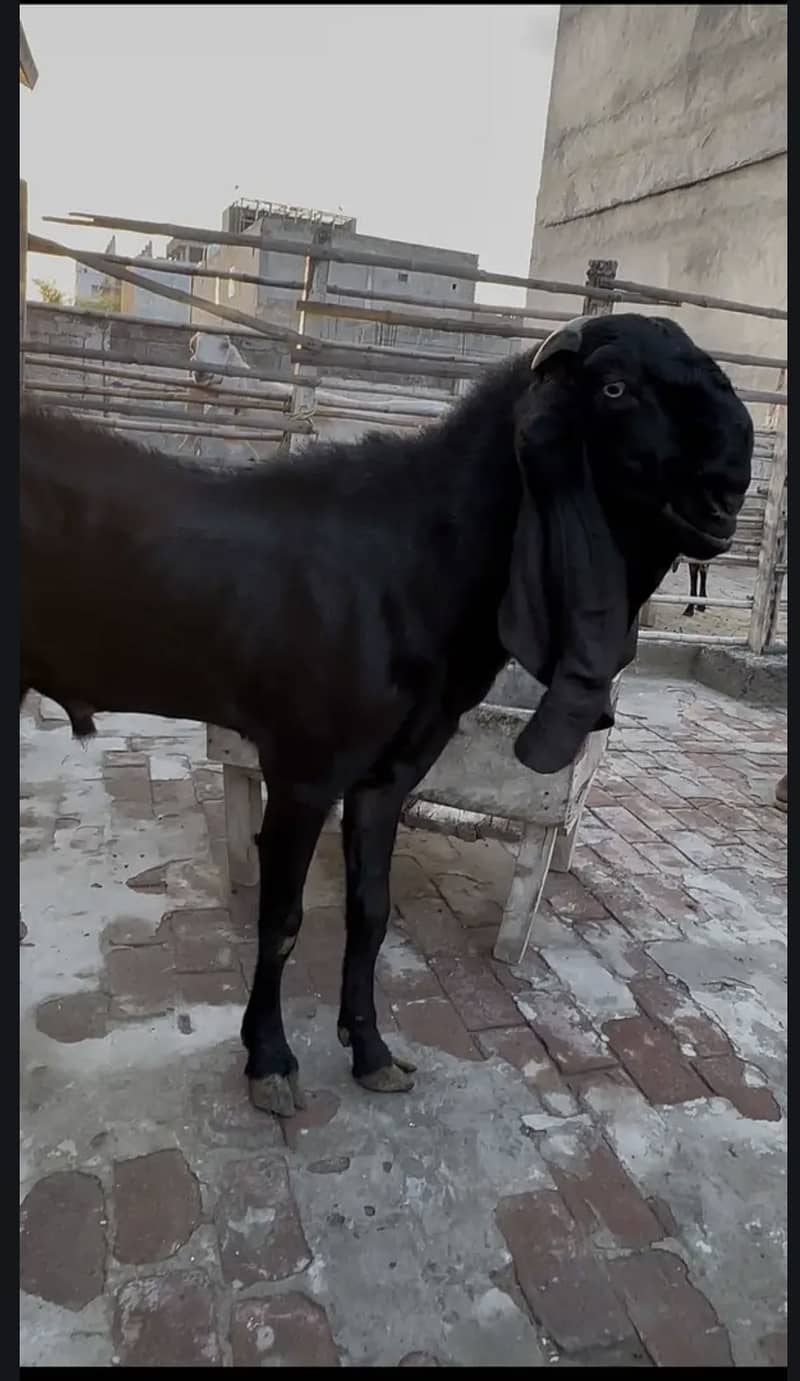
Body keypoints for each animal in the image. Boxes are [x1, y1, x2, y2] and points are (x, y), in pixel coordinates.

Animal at [20, 313, 753, 1117]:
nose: (729, 483)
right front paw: (269, 1060)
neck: (416, 559)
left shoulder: (389, 773)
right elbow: (280, 919)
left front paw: (371, 1051)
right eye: (617, 388)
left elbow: (371, 911)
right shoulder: (304, 769)